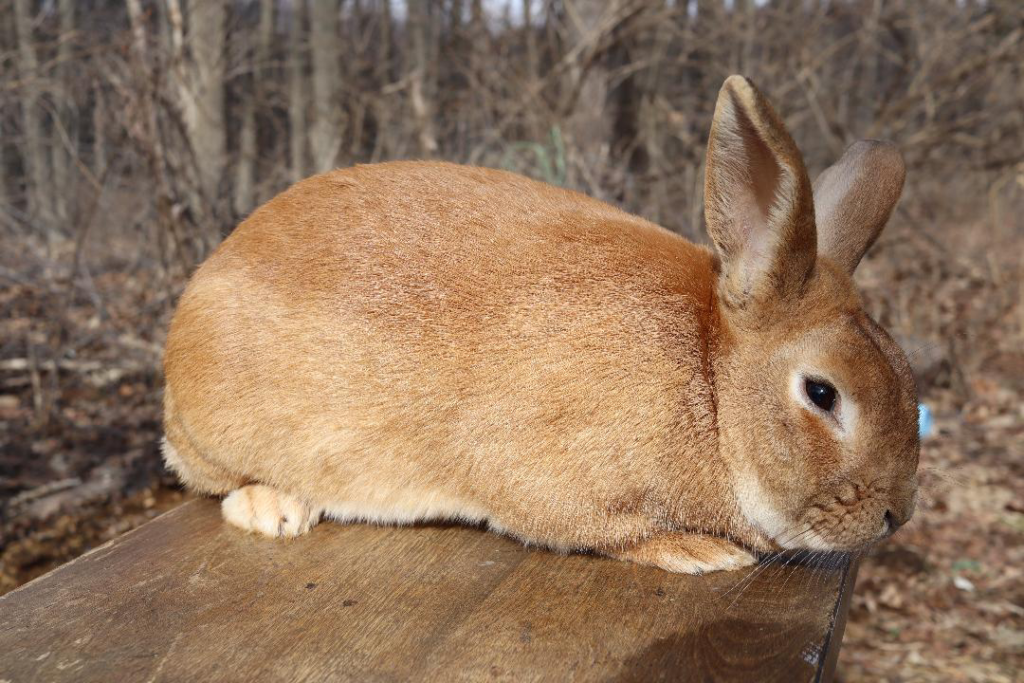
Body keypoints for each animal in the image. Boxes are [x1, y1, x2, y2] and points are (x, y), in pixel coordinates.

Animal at [162, 76, 919, 574]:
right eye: (822, 393)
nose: (897, 514)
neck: (709, 379)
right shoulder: (557, 483)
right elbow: (610, 531)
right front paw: (701, 552)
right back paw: (275, 509)